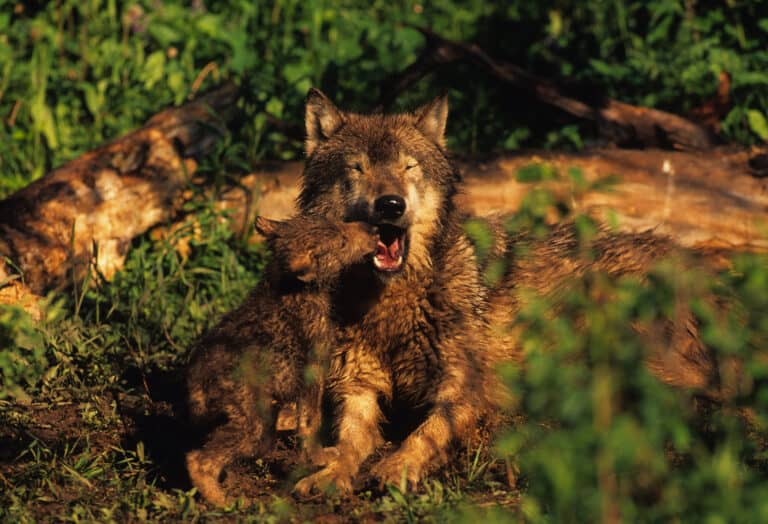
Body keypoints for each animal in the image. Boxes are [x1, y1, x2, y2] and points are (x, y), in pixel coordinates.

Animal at [185, 214, 378, 506]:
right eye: (342, 242)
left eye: (337, 223)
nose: (374, 229)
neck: (294, 289)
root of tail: (196, 383)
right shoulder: (313, 373)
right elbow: (310, 423)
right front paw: (320, 457)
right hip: (252, 427)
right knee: (198, 459)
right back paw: (224, 502)